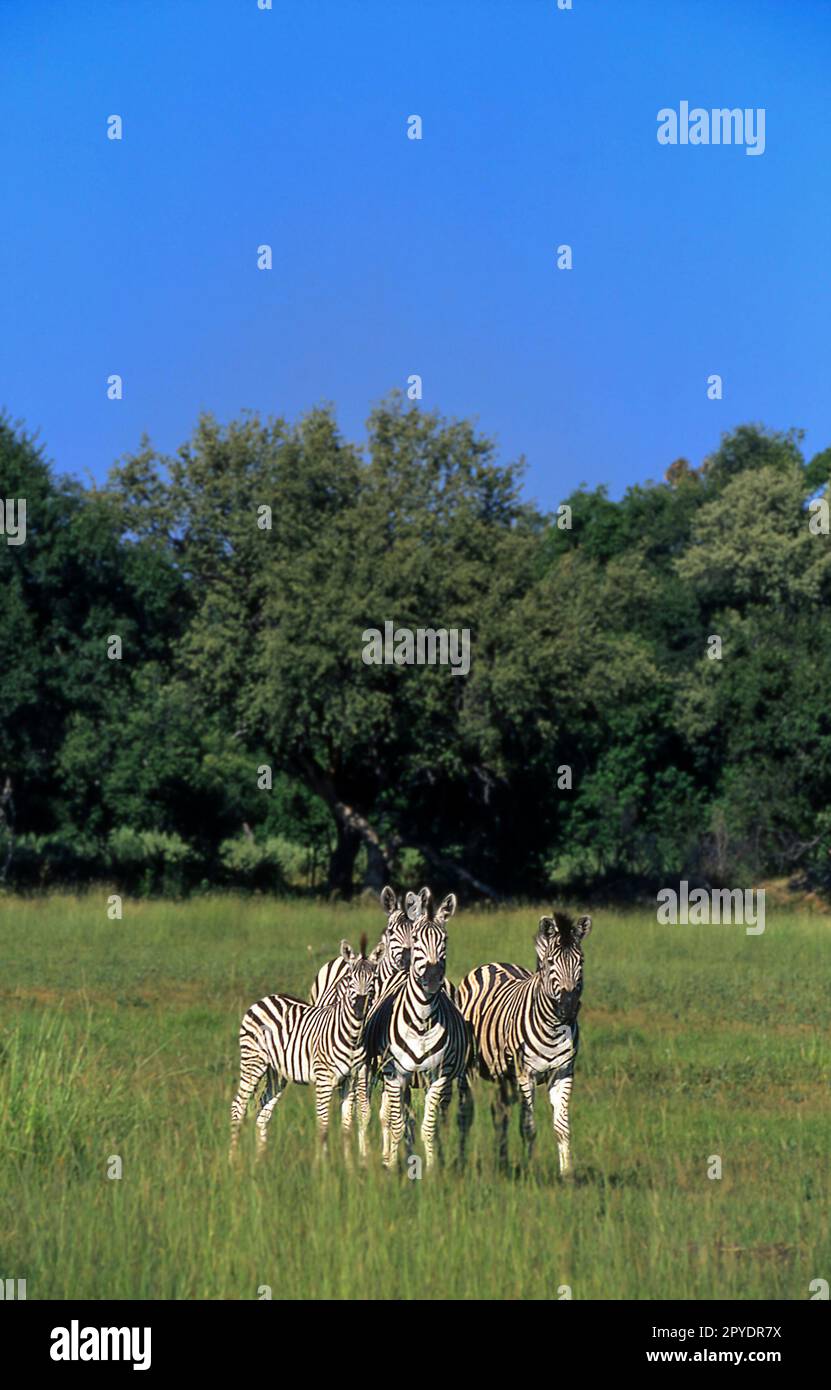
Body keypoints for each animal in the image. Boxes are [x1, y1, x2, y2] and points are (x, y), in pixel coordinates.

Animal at [229, 935, 386, 1163]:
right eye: (350, 979)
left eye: (373, 979)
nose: (359, 1009)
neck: (353, 1034)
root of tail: (265, 998)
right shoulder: (324, 1078)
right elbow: (323, 1124)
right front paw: (323, 1165)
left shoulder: (352, 1077)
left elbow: (348, 1124)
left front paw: (350, 1165)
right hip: (253, 1062)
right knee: (238, 1106)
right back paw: (233, 1160)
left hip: (277, 1073)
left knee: (262, 1112)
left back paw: (261, 1161)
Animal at [366, 888, 473, 1170]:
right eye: (416, 938)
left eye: (445, 939)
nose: (433, 978)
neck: (422, 1020)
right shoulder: (395, 1075)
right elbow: (396, 1123)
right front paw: (392, 1167)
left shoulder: (439, 1077)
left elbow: (429, 1127)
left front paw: (434, 1169)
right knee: (384, 1114)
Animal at [455, 911, 592, 1176]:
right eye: (551, 963)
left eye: (580, 963)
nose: (569, 1008)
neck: (554, 1028)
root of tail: (493, 964)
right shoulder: (525, 1074)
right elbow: (528, 1126)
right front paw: (532, 1172)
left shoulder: (563, 1072)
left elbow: (562, 1128)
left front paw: (567, 1174)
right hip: (471, 1069)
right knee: (466, 1113)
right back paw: (463, 1161)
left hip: (503, 1074)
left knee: (500, 1112)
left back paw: (502, 1163)